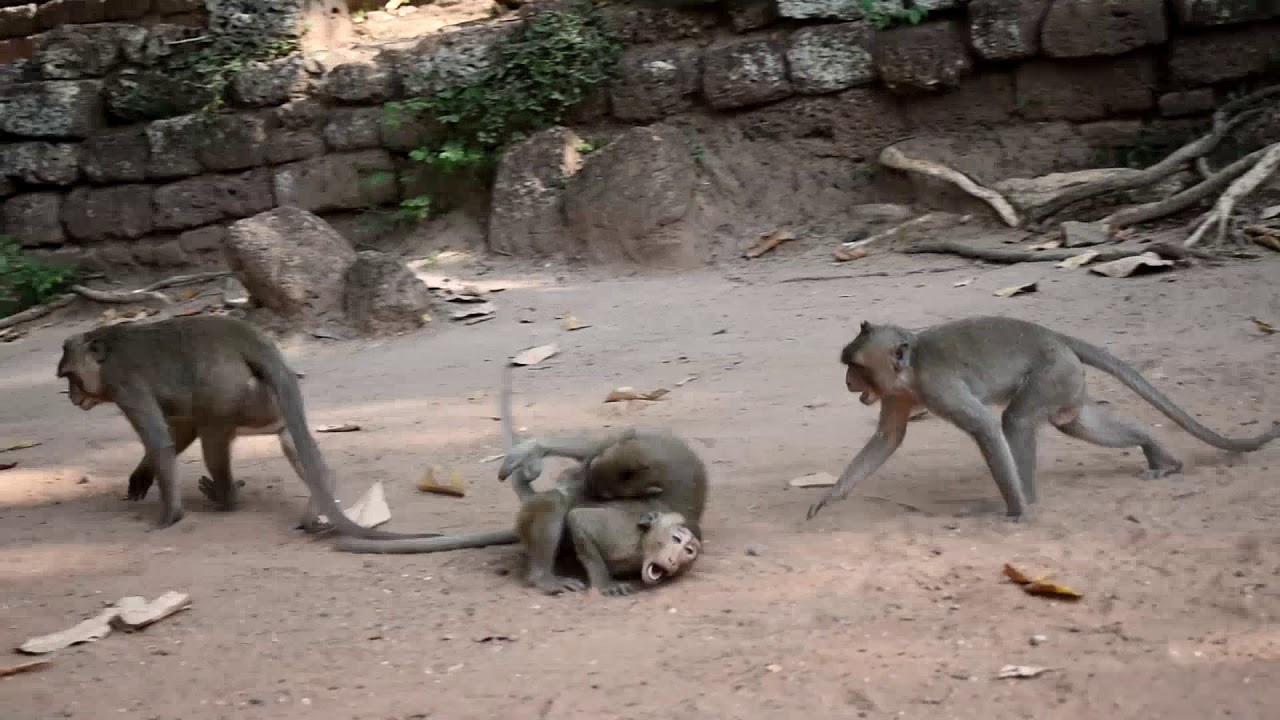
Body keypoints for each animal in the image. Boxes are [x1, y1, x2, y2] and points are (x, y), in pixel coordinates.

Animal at [56, 314, 442, 542]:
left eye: (71, 376)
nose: (73, 397)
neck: (107, 350)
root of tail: (253, 341)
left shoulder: (125, 384)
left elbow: (162, 440)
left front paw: (170, 515)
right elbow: (180, 433)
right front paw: (142, 475)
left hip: (232, 394)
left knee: (212, 434)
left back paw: (226, 498)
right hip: (267, 400)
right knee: (288, 438)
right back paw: (321, 493)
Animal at [335, 365, 708, 597]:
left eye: (688, 549)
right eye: (676, 540)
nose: (679, 556)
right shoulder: (620, 529)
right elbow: (579, 519)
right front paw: (604, 583)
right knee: (557, 502)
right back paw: (544, 575)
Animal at [807, 315, 1280, 522]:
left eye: (857, 367)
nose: (849, 382)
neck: (911, 368)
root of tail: (1056, 335)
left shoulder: (938, 386)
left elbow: (985, 427)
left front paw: (1015, 510)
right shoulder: (897, 394)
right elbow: (888, 437)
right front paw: (831, 496)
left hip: (1053, 371)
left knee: (1016, 420)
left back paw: (1027, 498)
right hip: (1068, 380)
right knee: (1074, 421)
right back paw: (1154, 449)